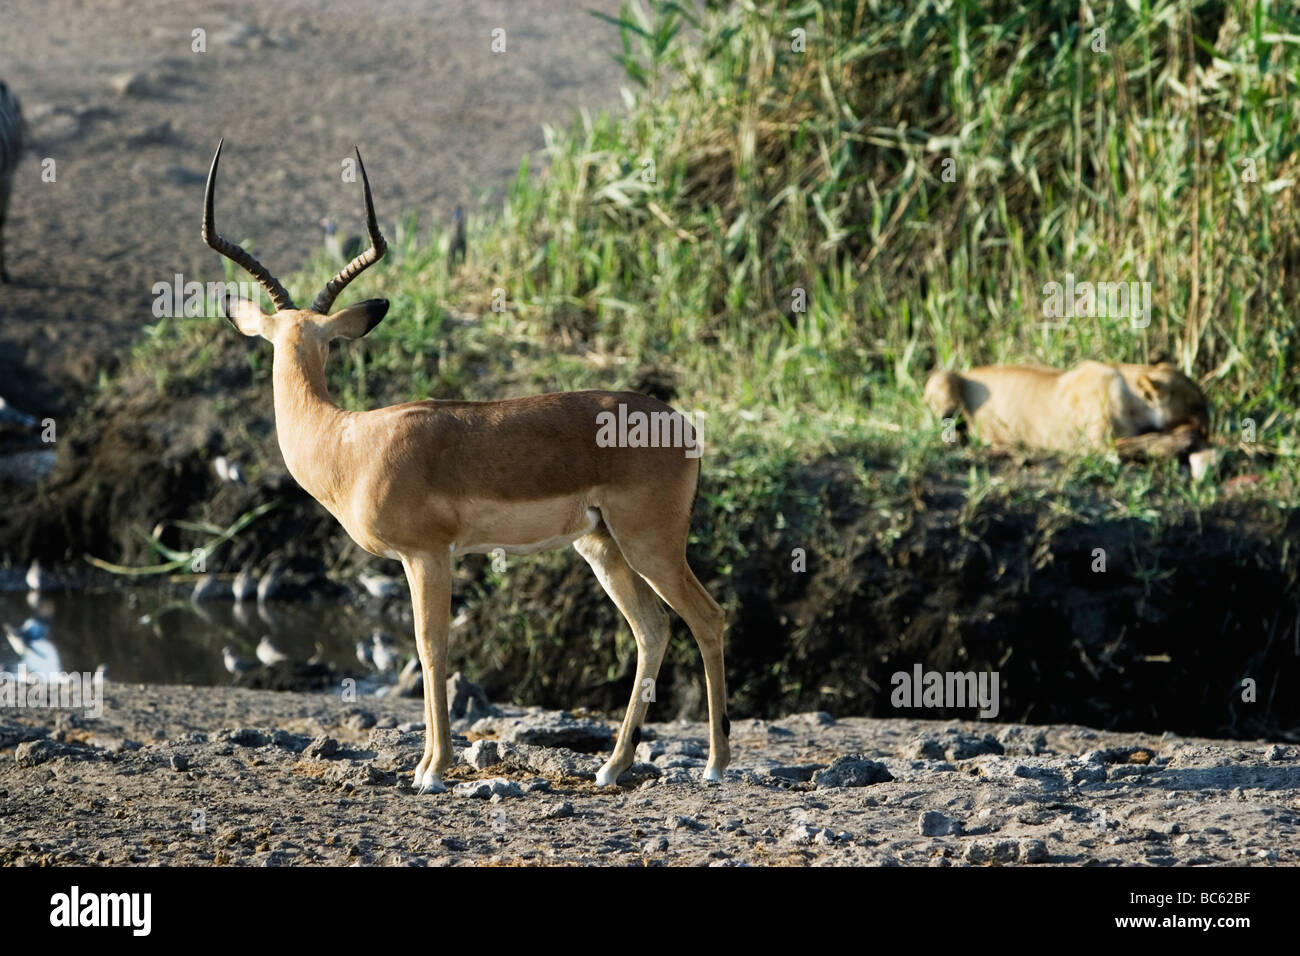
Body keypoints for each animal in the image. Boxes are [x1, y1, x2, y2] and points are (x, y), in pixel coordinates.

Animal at [201, 141, 730, 793]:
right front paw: (428, 763)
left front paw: (432, 769)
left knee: (707, 618)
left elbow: (432, 649)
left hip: (649, 542)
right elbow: (426, 649)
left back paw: (714, 764)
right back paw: (613, 766)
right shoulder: (419, 558)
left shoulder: (428, 554)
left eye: (322, 341)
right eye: (285, 339)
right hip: (601, 545)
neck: (347, 441)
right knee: (652, 630)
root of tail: (683, 425)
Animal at [923, 361, 1210, 461]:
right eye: (1199, 407)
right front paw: (1181, 441)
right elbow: (1144, 441)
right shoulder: (1097, 445)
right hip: (944, 377)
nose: (1209, 426)